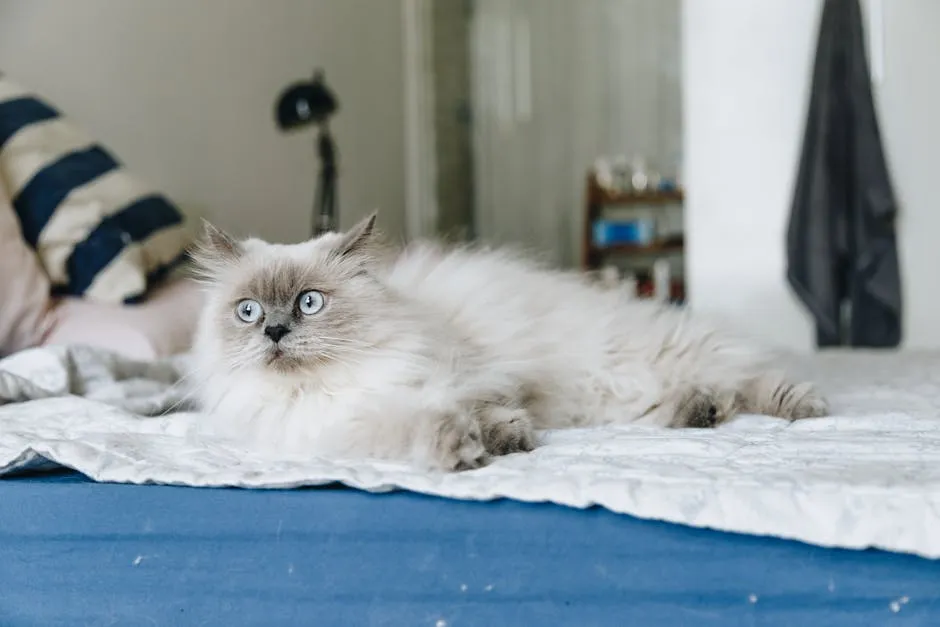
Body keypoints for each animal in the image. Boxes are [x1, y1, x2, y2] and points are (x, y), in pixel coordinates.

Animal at [191, 213, 828, 468]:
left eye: (309, 303)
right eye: (248, 312)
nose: (274, 330)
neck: (334, 387)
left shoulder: (467, 377)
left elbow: (485, 410)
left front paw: (494, 443)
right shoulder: (356, 427)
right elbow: (431, 426)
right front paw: (477, 447)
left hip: (630, 359)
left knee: (747, 376)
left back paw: (806, 407)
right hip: (610, 396)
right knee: (705, 394)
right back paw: (701, 411)